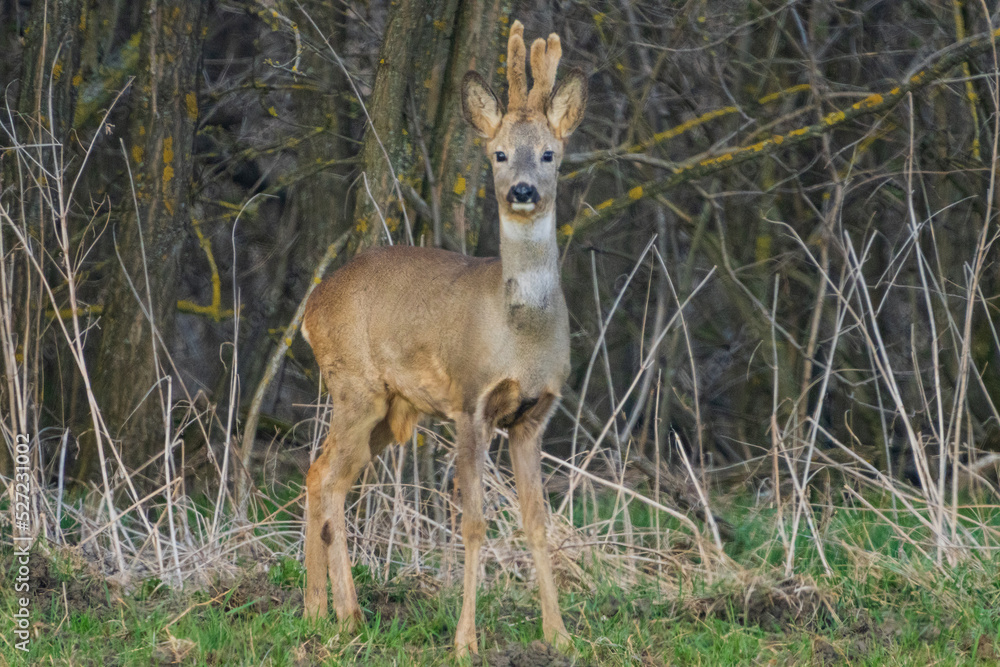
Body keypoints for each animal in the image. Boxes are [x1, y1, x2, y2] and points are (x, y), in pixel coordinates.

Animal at [299, 19, 586, 656]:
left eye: (549, 153)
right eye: (499, 153)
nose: (522, 190)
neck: (520, 335)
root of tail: (310, 307)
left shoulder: (534, 416)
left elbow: (538, 522)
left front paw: (558, 635)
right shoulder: (470, 401)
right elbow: (474, 522)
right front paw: (466, 641)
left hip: (389, 407)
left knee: (321, 473)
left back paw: (317, 611)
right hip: (355, 385)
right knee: (328, 476)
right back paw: (345, 615)